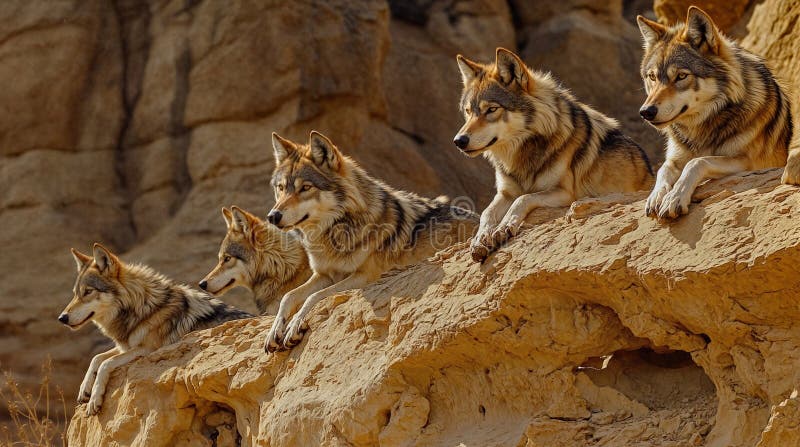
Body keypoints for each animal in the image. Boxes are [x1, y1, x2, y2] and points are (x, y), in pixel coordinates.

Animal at [58, 243, 252, 415]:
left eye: (88, 292)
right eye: (76, 293)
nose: (62, 318)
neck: (143, 307)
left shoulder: (148, 348)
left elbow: (106, 363)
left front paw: (95, 399)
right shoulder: (126, 345)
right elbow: (96, 358)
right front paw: (84, 389)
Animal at [263, 130, 478, 352]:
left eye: (305, 187)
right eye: (281, 188)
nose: (273, 216)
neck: (335, 230)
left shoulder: (366, 275)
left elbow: (314, 296)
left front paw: (294, 325)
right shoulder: (324, 274)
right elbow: (289, 296)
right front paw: (275, 329)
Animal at [454, 47, 654, 262]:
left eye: (491, 109)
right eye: (468, 111)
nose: (459, 140)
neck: (522, 153)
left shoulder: (565, 193)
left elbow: (523, 199)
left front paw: (504, 227)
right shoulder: (505, 193)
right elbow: (486, 212)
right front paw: (480, 239)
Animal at [637, 7, 793, 219]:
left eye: (681, 76)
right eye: (652, 77)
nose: (646, 112)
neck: (701, 127)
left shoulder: (748, 162)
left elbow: (697, 162)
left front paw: (674, 198)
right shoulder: (675, 158)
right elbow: (663, 169)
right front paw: (655, 196)